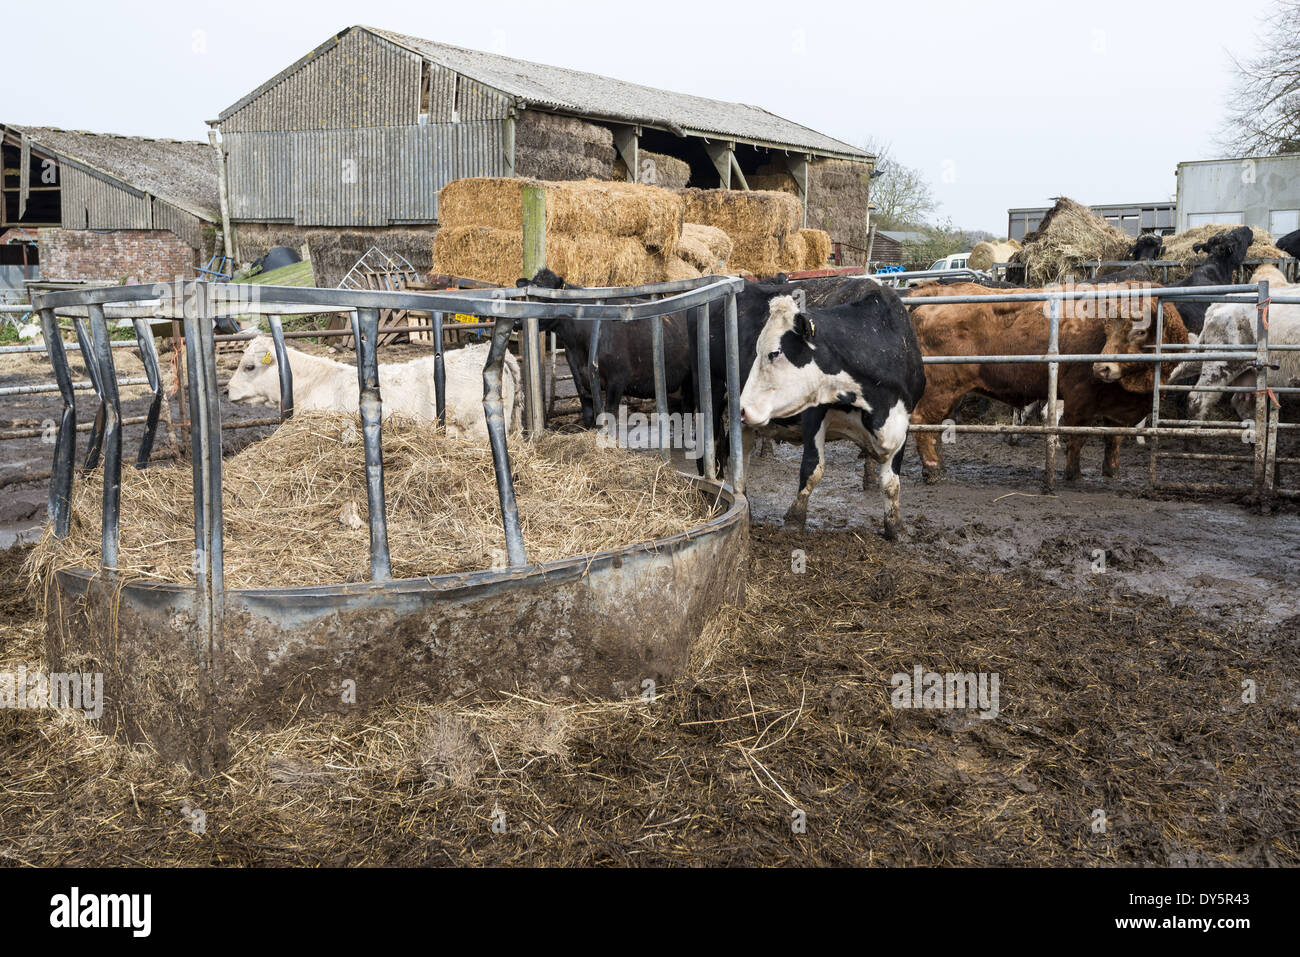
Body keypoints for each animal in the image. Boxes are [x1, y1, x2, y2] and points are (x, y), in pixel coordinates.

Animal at [737, 288, 926, 539]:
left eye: (774, 352)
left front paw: (895, 528)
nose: (743, 407)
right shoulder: (814, 415)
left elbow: (891, 483)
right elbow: (813, 468)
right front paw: (794, 520)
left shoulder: (902, 422)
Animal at [906, 281, 1187, 483]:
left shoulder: (1116, 409)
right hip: (940, 389)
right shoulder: (1079, 398)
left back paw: (940, 467)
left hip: (951, 393)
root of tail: (940, 289)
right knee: (922, 422)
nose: (1101, 368)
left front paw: (1112, 471)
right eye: (1107, 330)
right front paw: (1074, 475)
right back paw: (934, 471)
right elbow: (1077, 436)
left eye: (1140, 331)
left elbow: (1113, 438)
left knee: (936, 427)